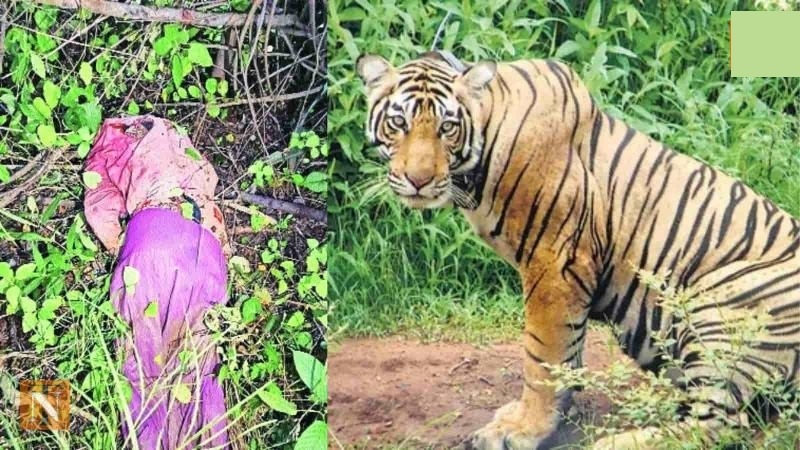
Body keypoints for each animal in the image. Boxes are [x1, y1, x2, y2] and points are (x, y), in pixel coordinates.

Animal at [356, 50, 800, 450]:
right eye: (398, 122)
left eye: (447, 128)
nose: (418, 180)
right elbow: (568, 351)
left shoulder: (555, 260)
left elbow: (542, 355)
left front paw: (524, 431)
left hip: (718, 306)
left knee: (718, 426)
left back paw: (611, 444)